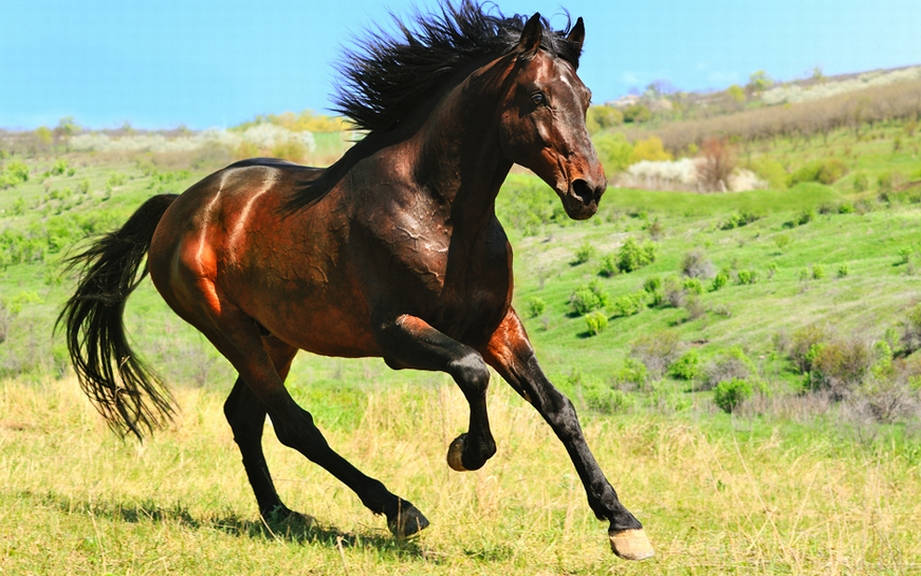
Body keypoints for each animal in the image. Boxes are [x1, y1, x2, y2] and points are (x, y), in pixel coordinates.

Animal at [58, 1, 653, 560]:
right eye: (535, 96)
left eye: (586, 97)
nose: (587, 190)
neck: (440, 214)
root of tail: (179, 206)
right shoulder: (396, 335)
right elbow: (471, 371)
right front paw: (463, 452)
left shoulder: (496, 325)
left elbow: (558, 408)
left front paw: (623, 525)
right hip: (229, 329)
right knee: (293, 423)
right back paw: (397, 510)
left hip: (277, 335)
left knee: (246, 416)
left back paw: (281, 513)